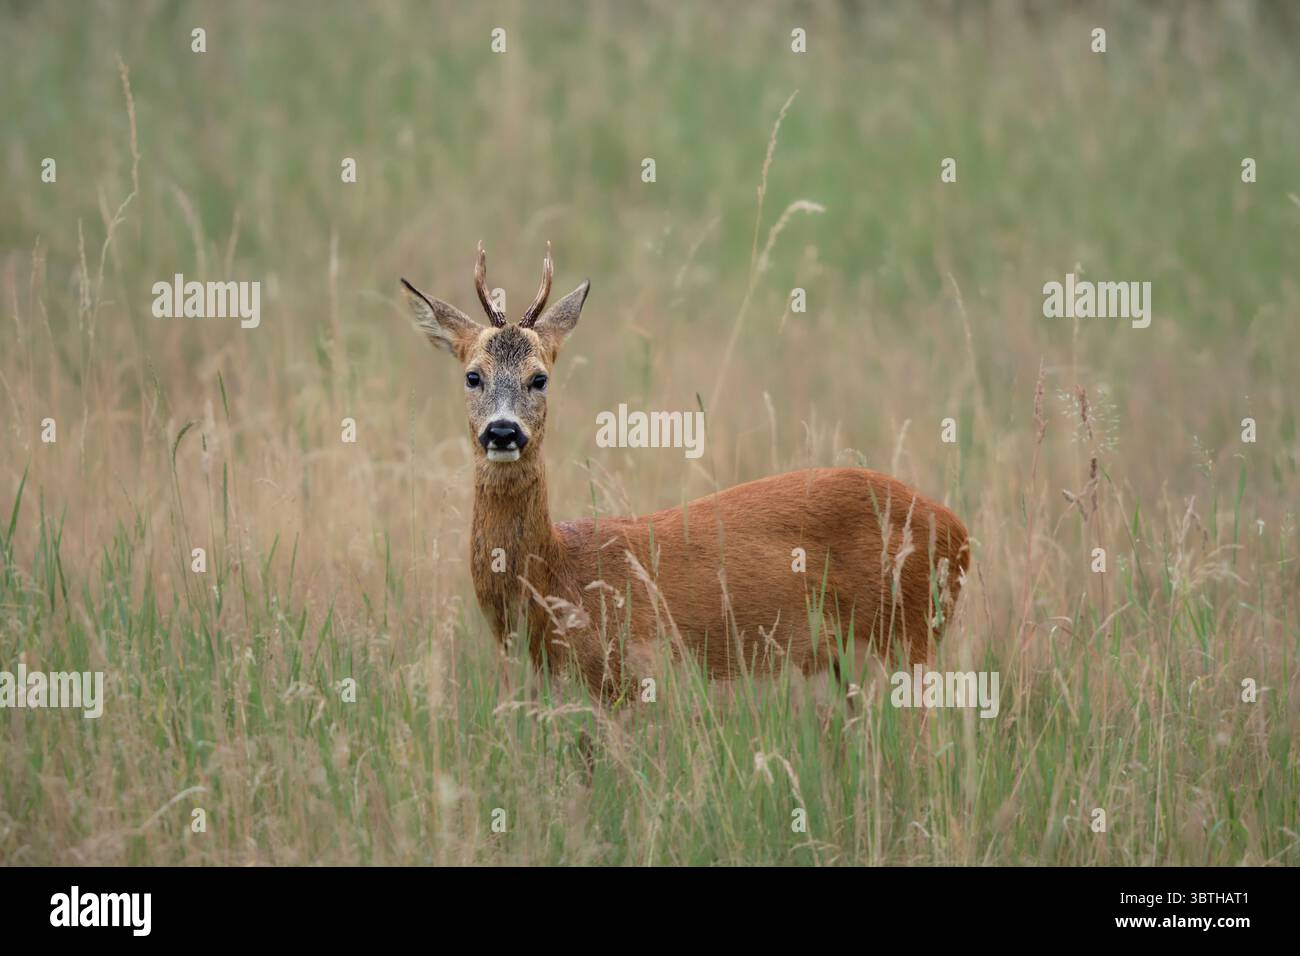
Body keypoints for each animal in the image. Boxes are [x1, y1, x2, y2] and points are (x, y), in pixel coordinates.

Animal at [400, 243, 970, 703]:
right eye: (472, 375)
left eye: (540, 378)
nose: (503, 431)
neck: (561, 576)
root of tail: (959, 531)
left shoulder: (637, 676)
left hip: (908, 636)